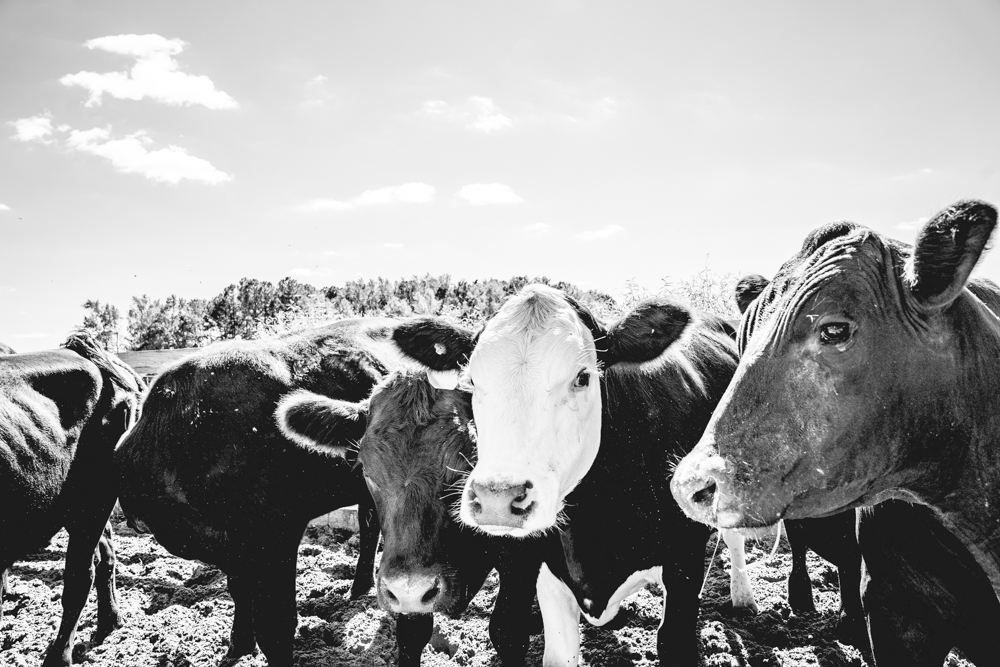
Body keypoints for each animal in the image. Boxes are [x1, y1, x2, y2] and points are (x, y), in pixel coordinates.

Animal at [276, 368, 544, 666]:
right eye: (367, 471)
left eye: (466, 466)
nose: (410, 588)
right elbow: (411, 635)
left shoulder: (523, 553)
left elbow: (507, 632)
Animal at [390, 284, 745, 666]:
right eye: (472, 380)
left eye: (583, 377)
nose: (497, 498)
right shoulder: (543, 569)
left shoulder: (685, 559)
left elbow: (674, 641)